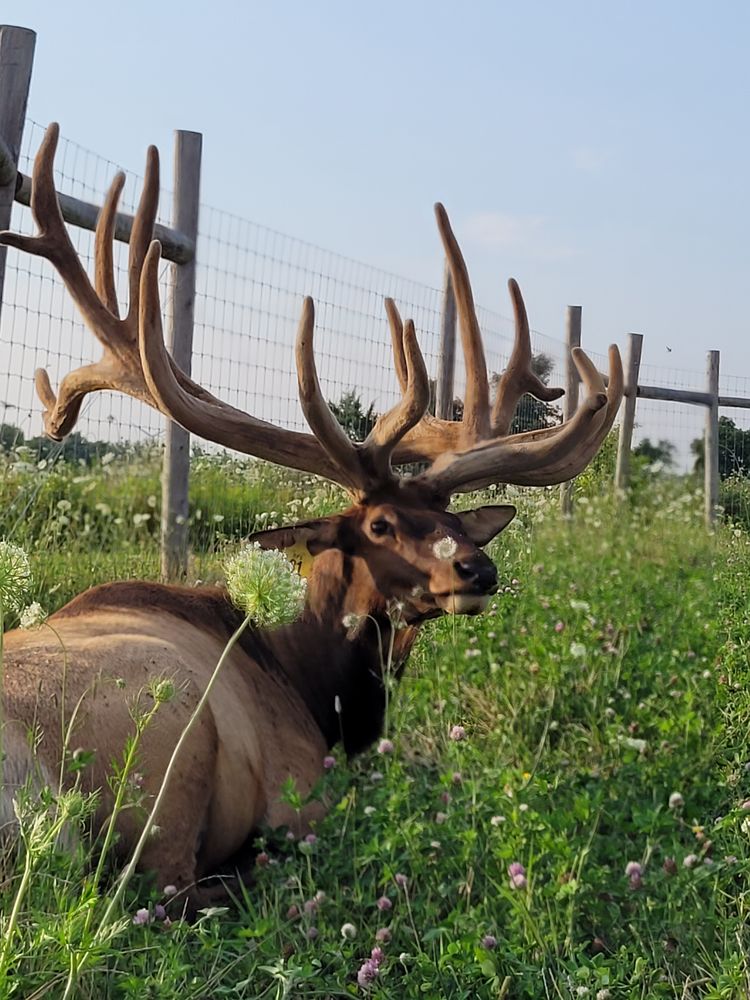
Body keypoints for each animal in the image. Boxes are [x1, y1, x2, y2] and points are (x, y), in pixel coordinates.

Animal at [0, 124, 623, 914]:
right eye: (380, 524)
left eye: (450, 515)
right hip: (167, 742)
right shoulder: (300, 782)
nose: (478, 568)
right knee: (171, 893)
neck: (315, 689)